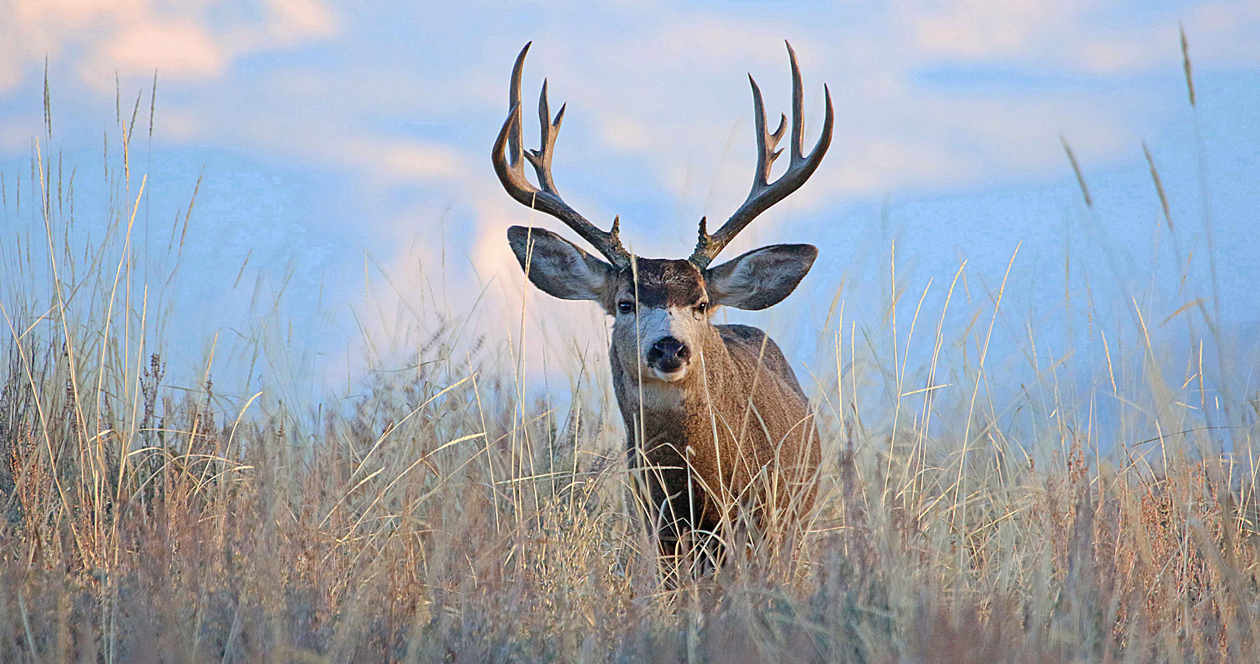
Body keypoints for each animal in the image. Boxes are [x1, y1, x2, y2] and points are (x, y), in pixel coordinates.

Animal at [492, 42, 831, 574]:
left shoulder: (761, 523)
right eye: (625, 303)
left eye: (701, 303)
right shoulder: (660, 529)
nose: (669, 348)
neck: (697, 490)